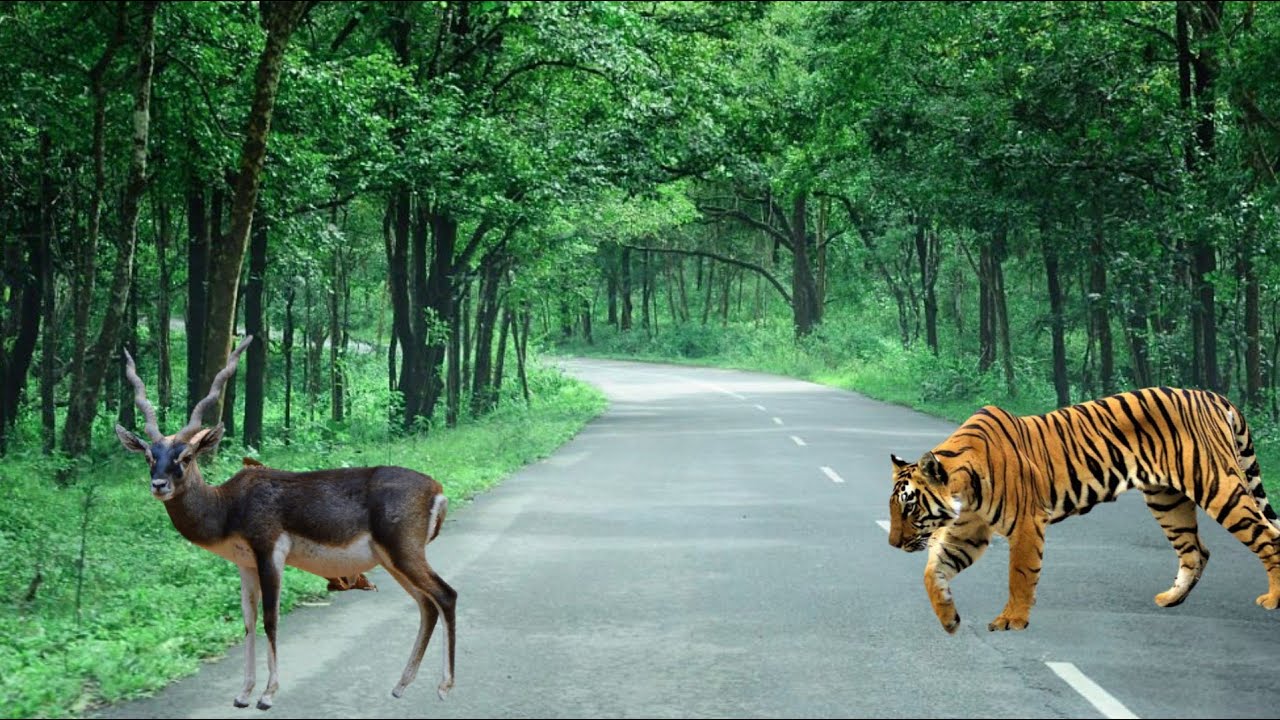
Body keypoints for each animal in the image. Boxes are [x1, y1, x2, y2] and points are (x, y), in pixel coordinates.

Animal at [887, 386, 1280, 634]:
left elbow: (1020, 575)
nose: (892, 544)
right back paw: (1170, 599)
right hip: (1166, 499)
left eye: (910, 507)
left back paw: (1273, 600)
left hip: (1219, 487)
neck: (964, 491)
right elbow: (933, 573)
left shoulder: (1027, 524)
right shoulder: (968, 533)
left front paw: (1012, 620)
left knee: (1268, 537)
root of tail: (1215, 395)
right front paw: (949, 619)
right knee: (1196, 550)